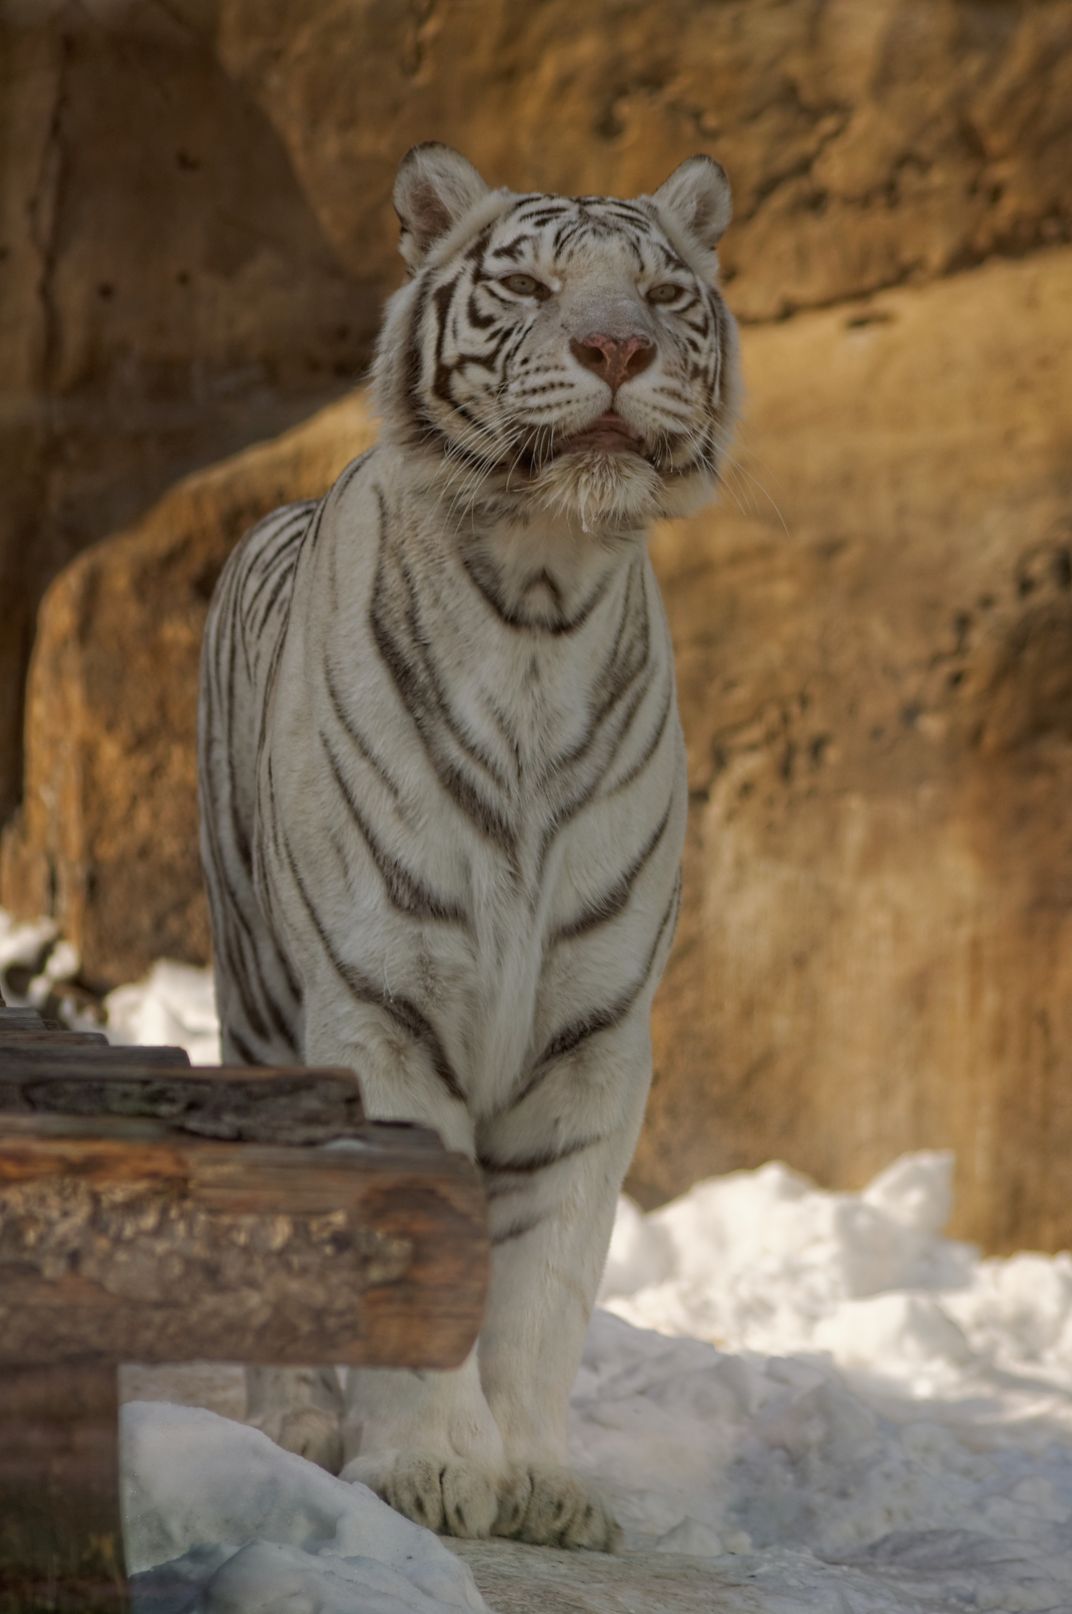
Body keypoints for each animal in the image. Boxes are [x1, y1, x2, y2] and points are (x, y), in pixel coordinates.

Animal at [198, 142, 739, 1550]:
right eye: (534, 284)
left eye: (663, 291)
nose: (616, 347)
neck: (543, 596)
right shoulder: (384, 1005)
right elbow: (413, 1251)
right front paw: (428, 1470)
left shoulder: (592, 1036)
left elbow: (544, 1279)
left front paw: (539, 1482)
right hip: (261, 1006)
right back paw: (297, 1427)